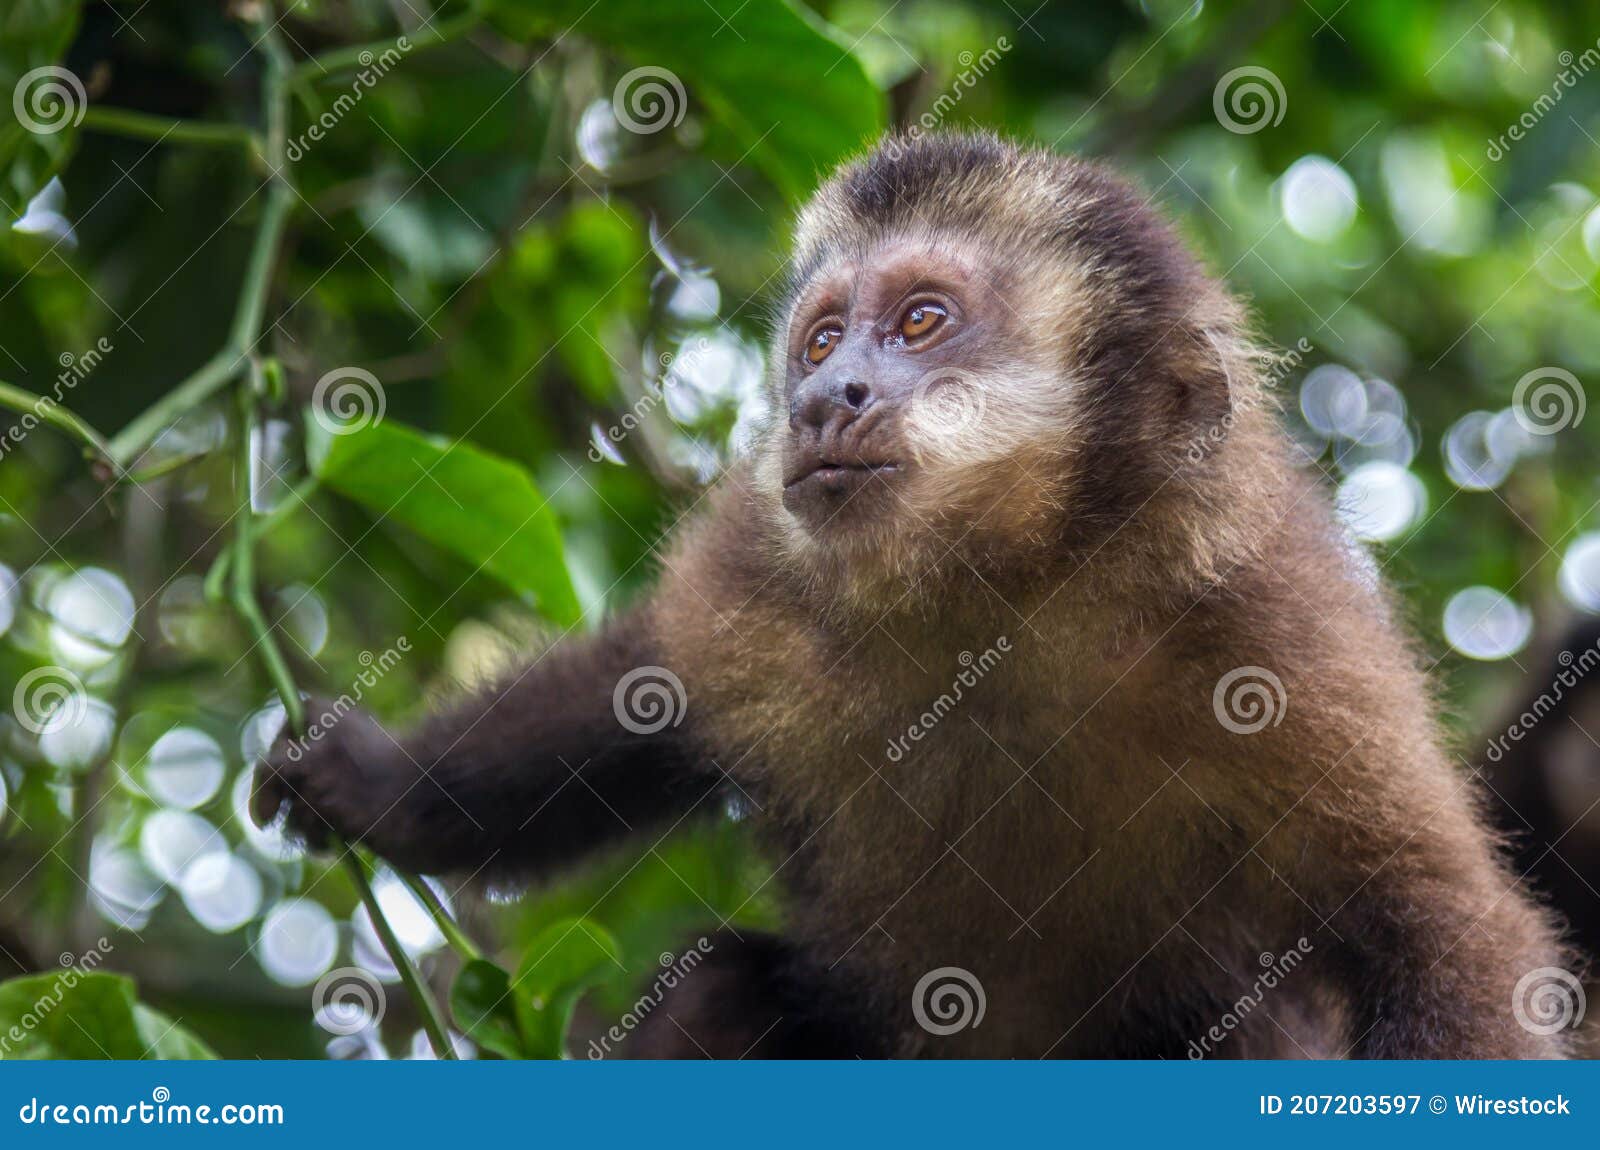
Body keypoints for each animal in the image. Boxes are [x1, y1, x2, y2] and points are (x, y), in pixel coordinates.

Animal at [254, 130, 1580, 1059]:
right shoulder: (764, 572)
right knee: (714, 995)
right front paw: (376, 788)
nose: (820, 397)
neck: (1003, 600)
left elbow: (1439, 928)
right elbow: (642, 691)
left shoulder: (1272, 632)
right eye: (822, 337)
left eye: (923, 320)